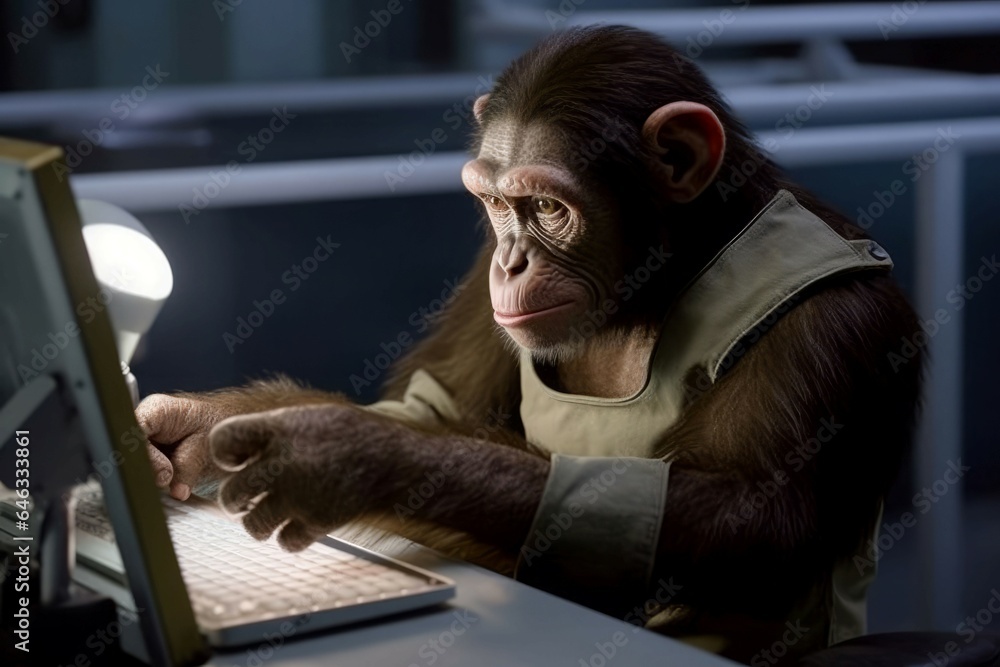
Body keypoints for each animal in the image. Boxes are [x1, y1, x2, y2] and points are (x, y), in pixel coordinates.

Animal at [137, 26, 924, 664]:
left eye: (547, 207)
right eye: (492, 203)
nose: (511, 263)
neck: (656, 283)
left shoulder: (831, 325)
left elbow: (751, 518)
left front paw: (341, 455)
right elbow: (434, 406)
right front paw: (196, 427)